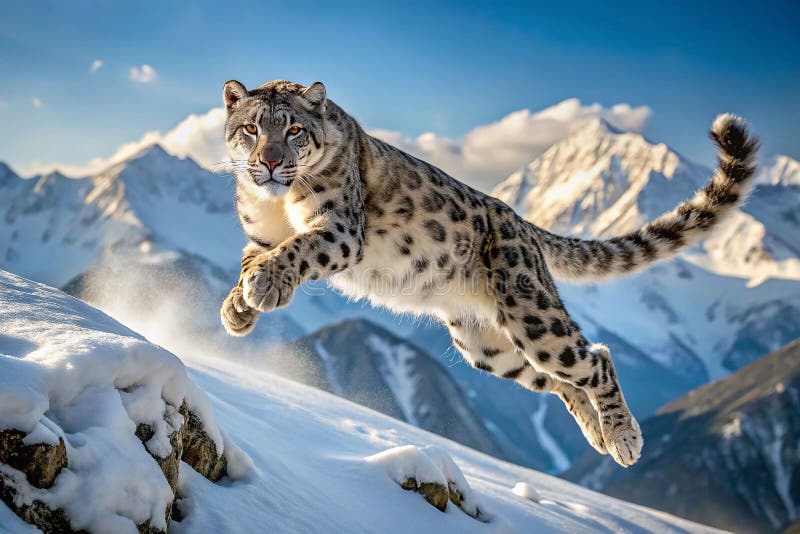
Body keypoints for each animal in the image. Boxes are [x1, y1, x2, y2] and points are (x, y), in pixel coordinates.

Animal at [218, 79, 758, 467]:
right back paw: (599, 437)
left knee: (595, 358)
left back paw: (623, 440)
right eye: (251, 129)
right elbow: (255, 257)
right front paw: (236, 309)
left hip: (533, 315)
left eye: (294, 131)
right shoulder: (260, 236)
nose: (270, 162)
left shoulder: (340, 229)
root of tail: (522, 223)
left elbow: (299, 248)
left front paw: (261, 289)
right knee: (560, 379)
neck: (278, 204)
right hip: (487, 346)